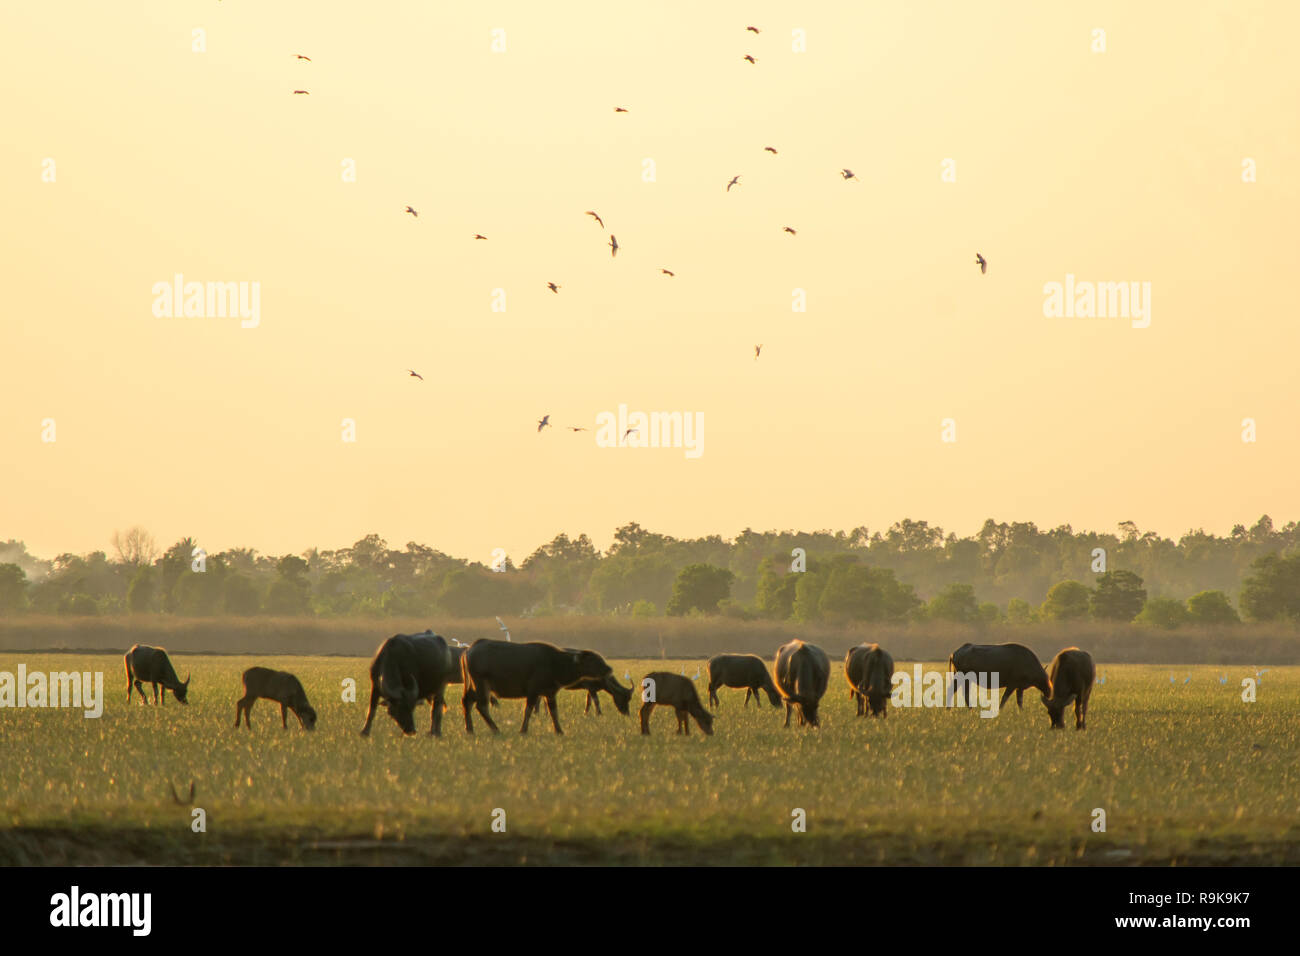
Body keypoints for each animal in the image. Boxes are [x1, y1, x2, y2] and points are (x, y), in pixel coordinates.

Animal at [461, 640, 615, 734]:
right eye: (594, 660)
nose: (609, 669)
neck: (555, 663)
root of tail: (469, 650)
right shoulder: (533, 691)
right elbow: (528, 711)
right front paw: (523, 730)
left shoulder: (550, 693)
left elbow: (554, 712)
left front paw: (559, 731)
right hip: (481, 684)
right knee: (481, 706)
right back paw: (496, 730)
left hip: (474, 686)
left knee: (467, 702)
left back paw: (470, 730)